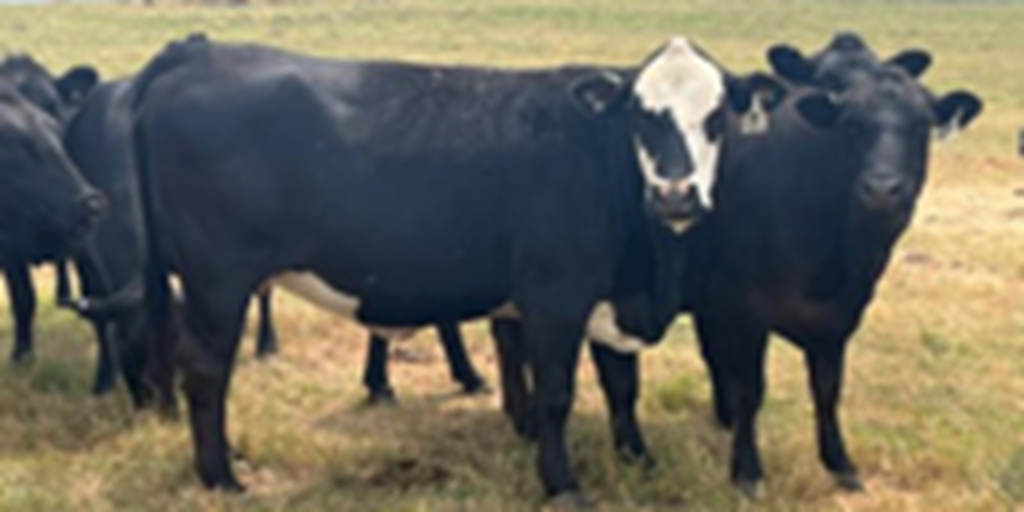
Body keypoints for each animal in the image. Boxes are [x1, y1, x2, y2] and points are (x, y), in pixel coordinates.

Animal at [113, 34, 785, 505]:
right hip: (217, 283)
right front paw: (562, 483)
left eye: (717, 117)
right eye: (642, 115)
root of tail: (198, 55)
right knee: (205, 371)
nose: (676, 195)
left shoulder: (608, 298)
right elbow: (556, 396)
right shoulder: (555, 297)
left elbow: (622, 387)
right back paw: (221, 476)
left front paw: (638, 460)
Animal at [687, 33, 983, 494]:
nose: (882, 189)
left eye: (921, 128)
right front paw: (748, 470)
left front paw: (840, 462)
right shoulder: (743, 309)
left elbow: (827, 389)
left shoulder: (839, 317)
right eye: (852, 125)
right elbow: (750, 389)